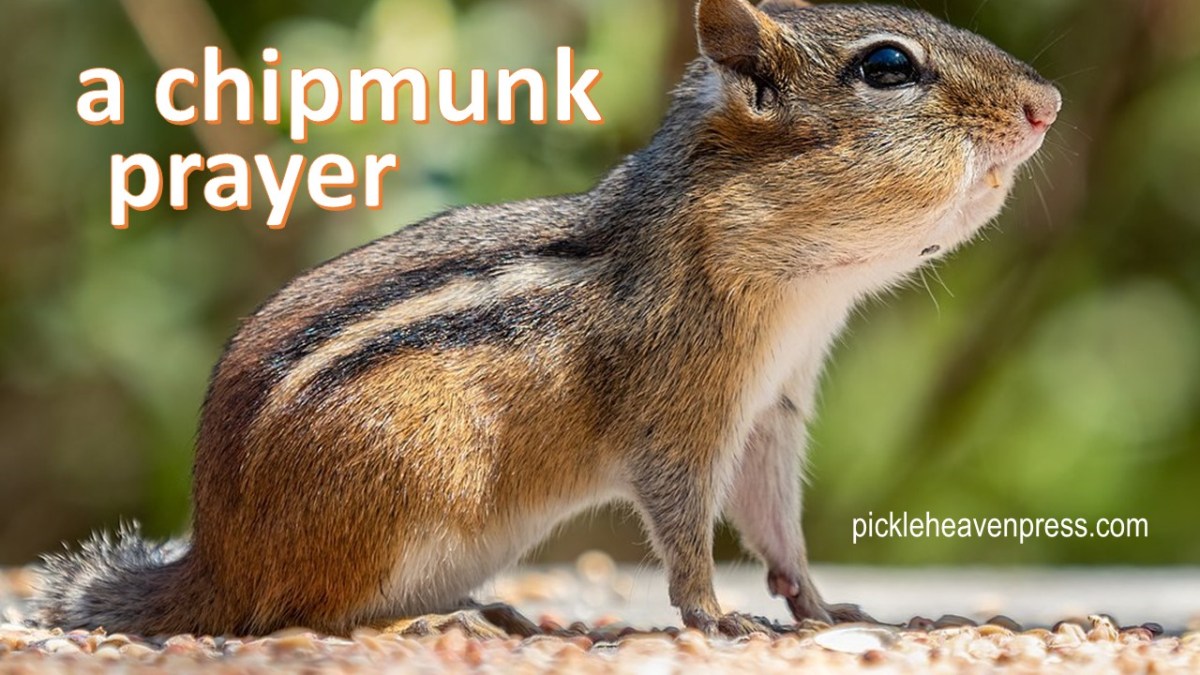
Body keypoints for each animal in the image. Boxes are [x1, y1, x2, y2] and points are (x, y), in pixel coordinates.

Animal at [34, 0, 1060, 637]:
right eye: (887, 67)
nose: (1046, 102)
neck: (799, 288)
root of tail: (215, 562)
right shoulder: (678, 412)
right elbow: (684, 521)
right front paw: (714, 614)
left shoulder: (770, 412)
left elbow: (778, 525)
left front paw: (823, 608)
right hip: (404, 480)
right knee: (303, 611)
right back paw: (441, 616)